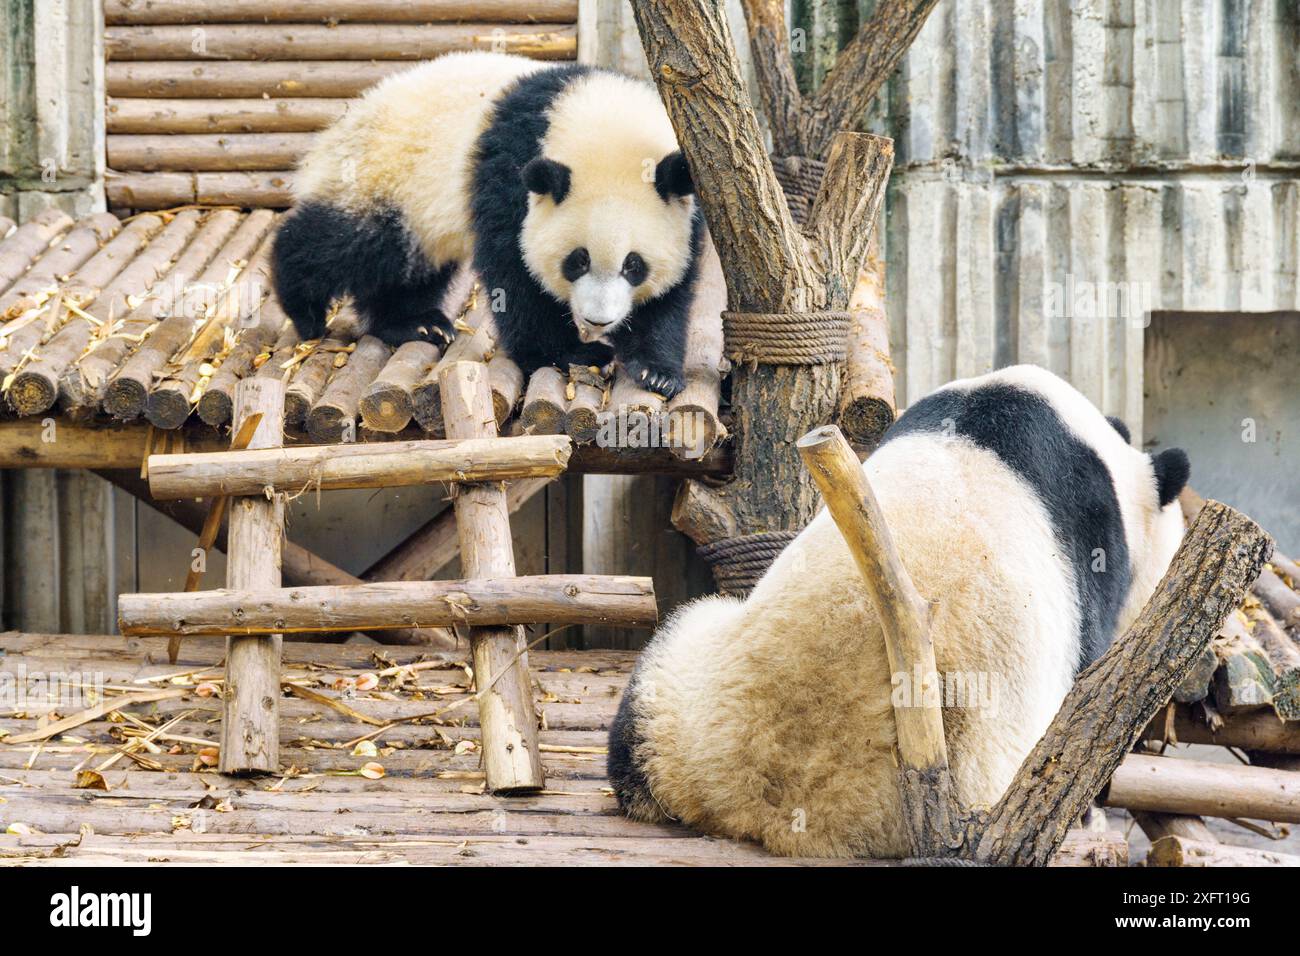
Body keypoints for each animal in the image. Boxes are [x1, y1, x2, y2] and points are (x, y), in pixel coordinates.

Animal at [272, 52, 703, 398]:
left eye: (634, 265)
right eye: (577, 260)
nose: (599, 320)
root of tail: (352, 114)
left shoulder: (684, 200)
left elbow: (671, 294)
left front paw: (656, 371)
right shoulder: (514, 174)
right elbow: (515, 271)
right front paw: (569, 352)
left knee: (411, 268)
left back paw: (415, 324)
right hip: (386, 175)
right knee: (353, 243)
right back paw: (304, 308)